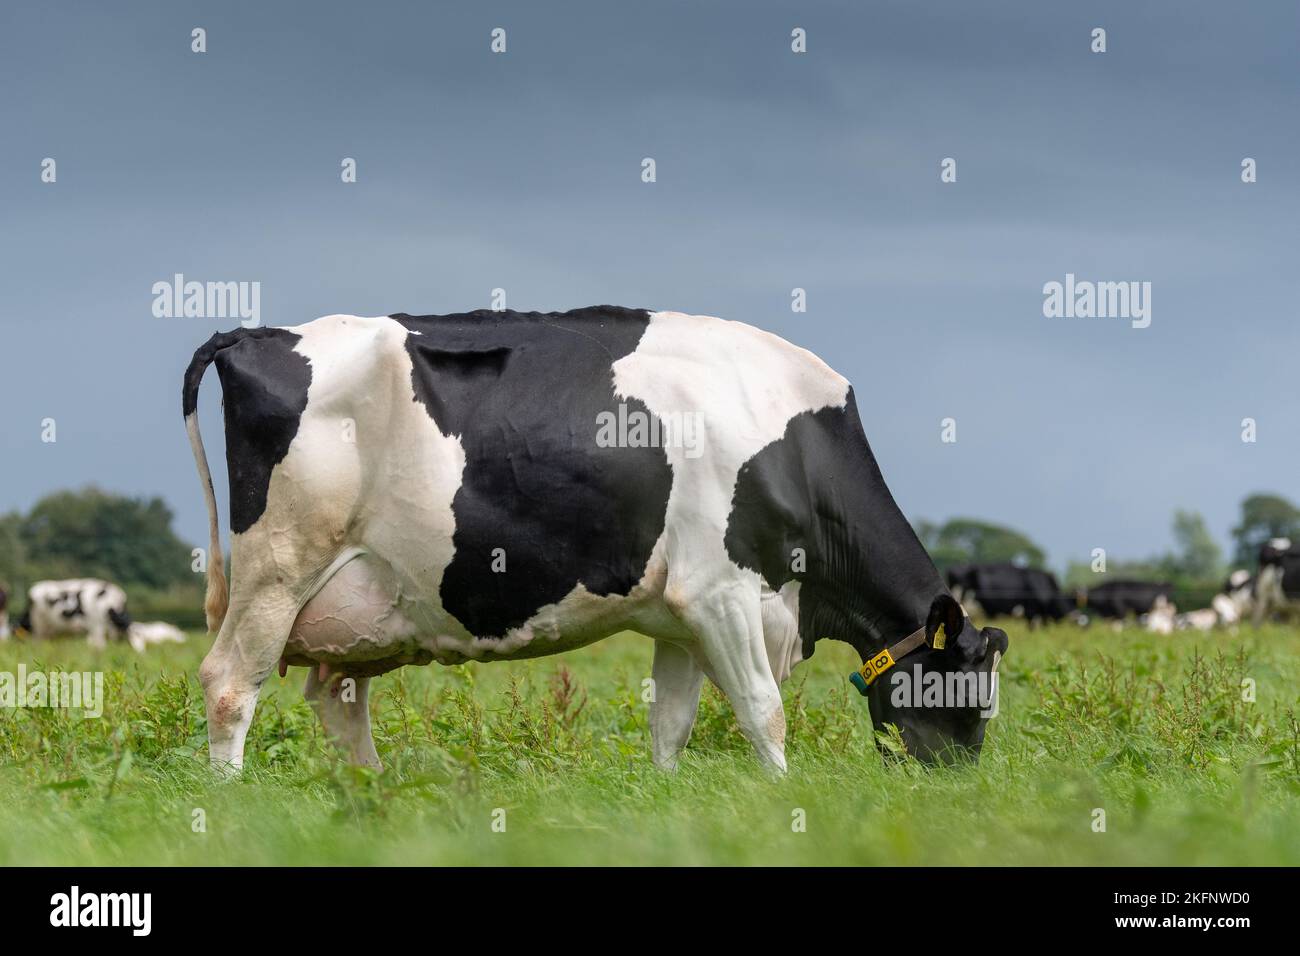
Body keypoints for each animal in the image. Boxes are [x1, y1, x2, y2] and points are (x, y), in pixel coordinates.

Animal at [184, 308, 1010, 772]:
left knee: (340, 706)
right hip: (279, 568)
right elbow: (762, 711)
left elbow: (671, 728)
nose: (955, 789)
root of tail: (257, 332)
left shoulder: (681, 617)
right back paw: (230, 806)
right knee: (229, 685)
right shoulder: (722, 590)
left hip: (354, 607)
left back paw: (371, 797)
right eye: (964, 696)